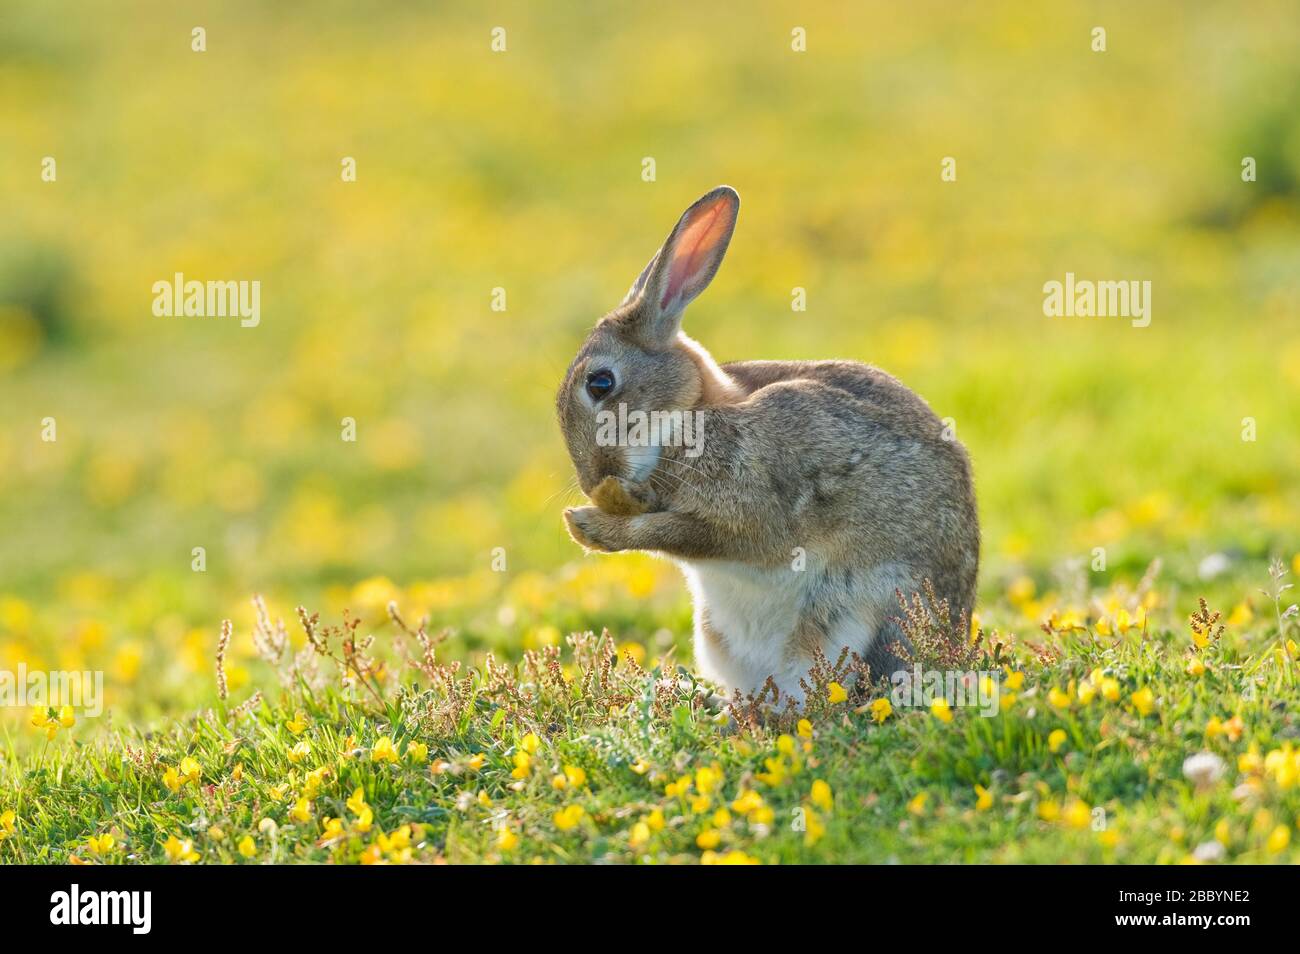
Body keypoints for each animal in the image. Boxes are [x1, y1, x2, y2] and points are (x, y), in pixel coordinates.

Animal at [557, 185, 979, 705]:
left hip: (852, 616)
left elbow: (677, 533)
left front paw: (588, 527)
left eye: (600, 383)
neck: (691, 415)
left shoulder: (754, 514)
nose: (592, 481)